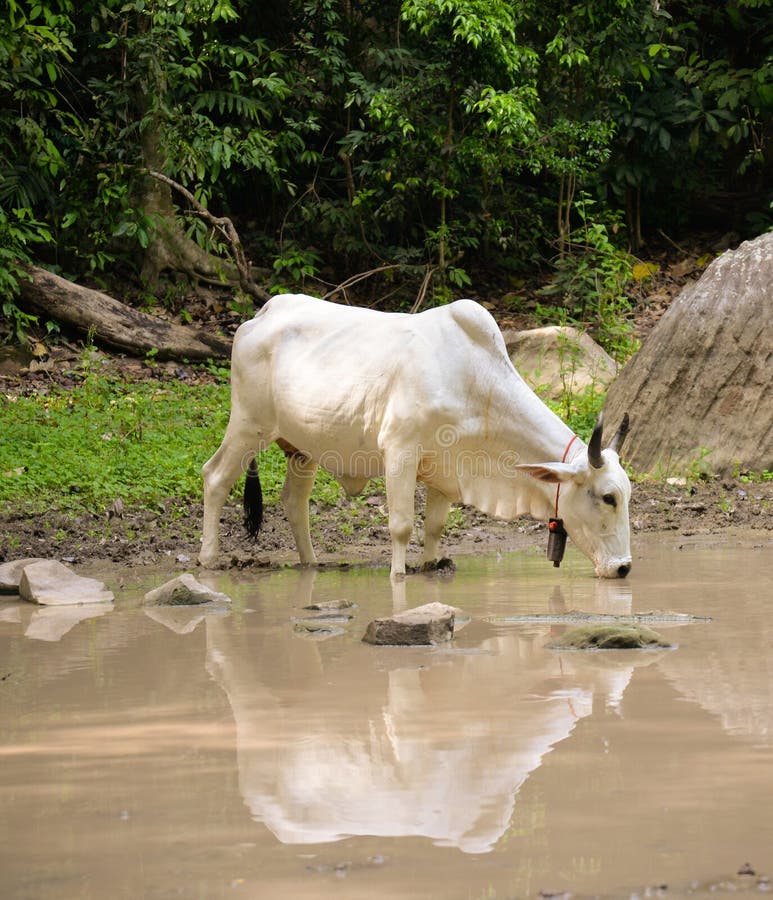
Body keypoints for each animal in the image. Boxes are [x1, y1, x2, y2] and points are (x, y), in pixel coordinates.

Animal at [199, 294, 632, 578]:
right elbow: (402, 525)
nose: (624, 568)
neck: (478, 384)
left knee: (294, 501)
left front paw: (430, 565)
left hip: (302, 449)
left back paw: (310, 563)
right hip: (249, 425)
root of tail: (261, 314)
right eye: (607, 497)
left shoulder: (446, 469)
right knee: (215, 477)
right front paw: (398, 577)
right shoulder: (400, 451)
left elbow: (435, 526)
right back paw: (207, 558)